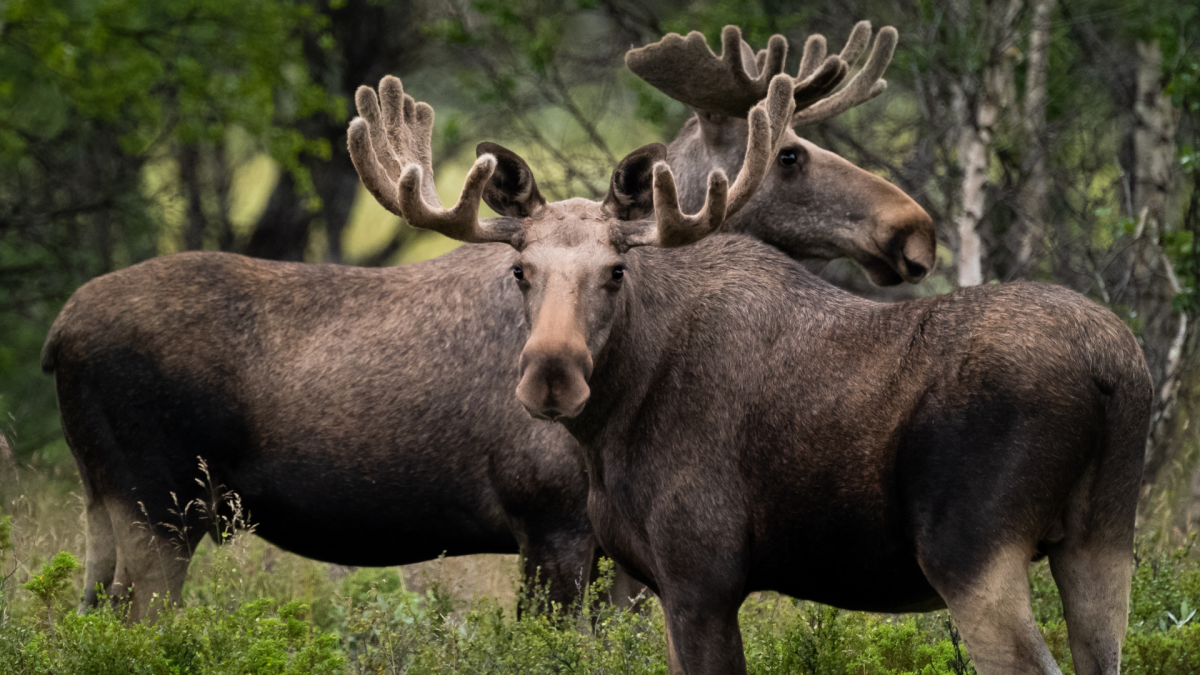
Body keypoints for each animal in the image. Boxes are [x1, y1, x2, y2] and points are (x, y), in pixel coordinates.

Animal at [42, 23, 930, 623]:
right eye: (789, 154)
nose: (913, 229)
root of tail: (57, 336)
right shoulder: (553, 523)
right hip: (156, 503)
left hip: (103, 506)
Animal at [345, 35, 1153, 675]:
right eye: (520, 270)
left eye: (616, 270)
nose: (552, 376)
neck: (615, 420)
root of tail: (1115, 371)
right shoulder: (654, 578)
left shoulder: (700, 575)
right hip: (1103, 542)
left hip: (973, 554)